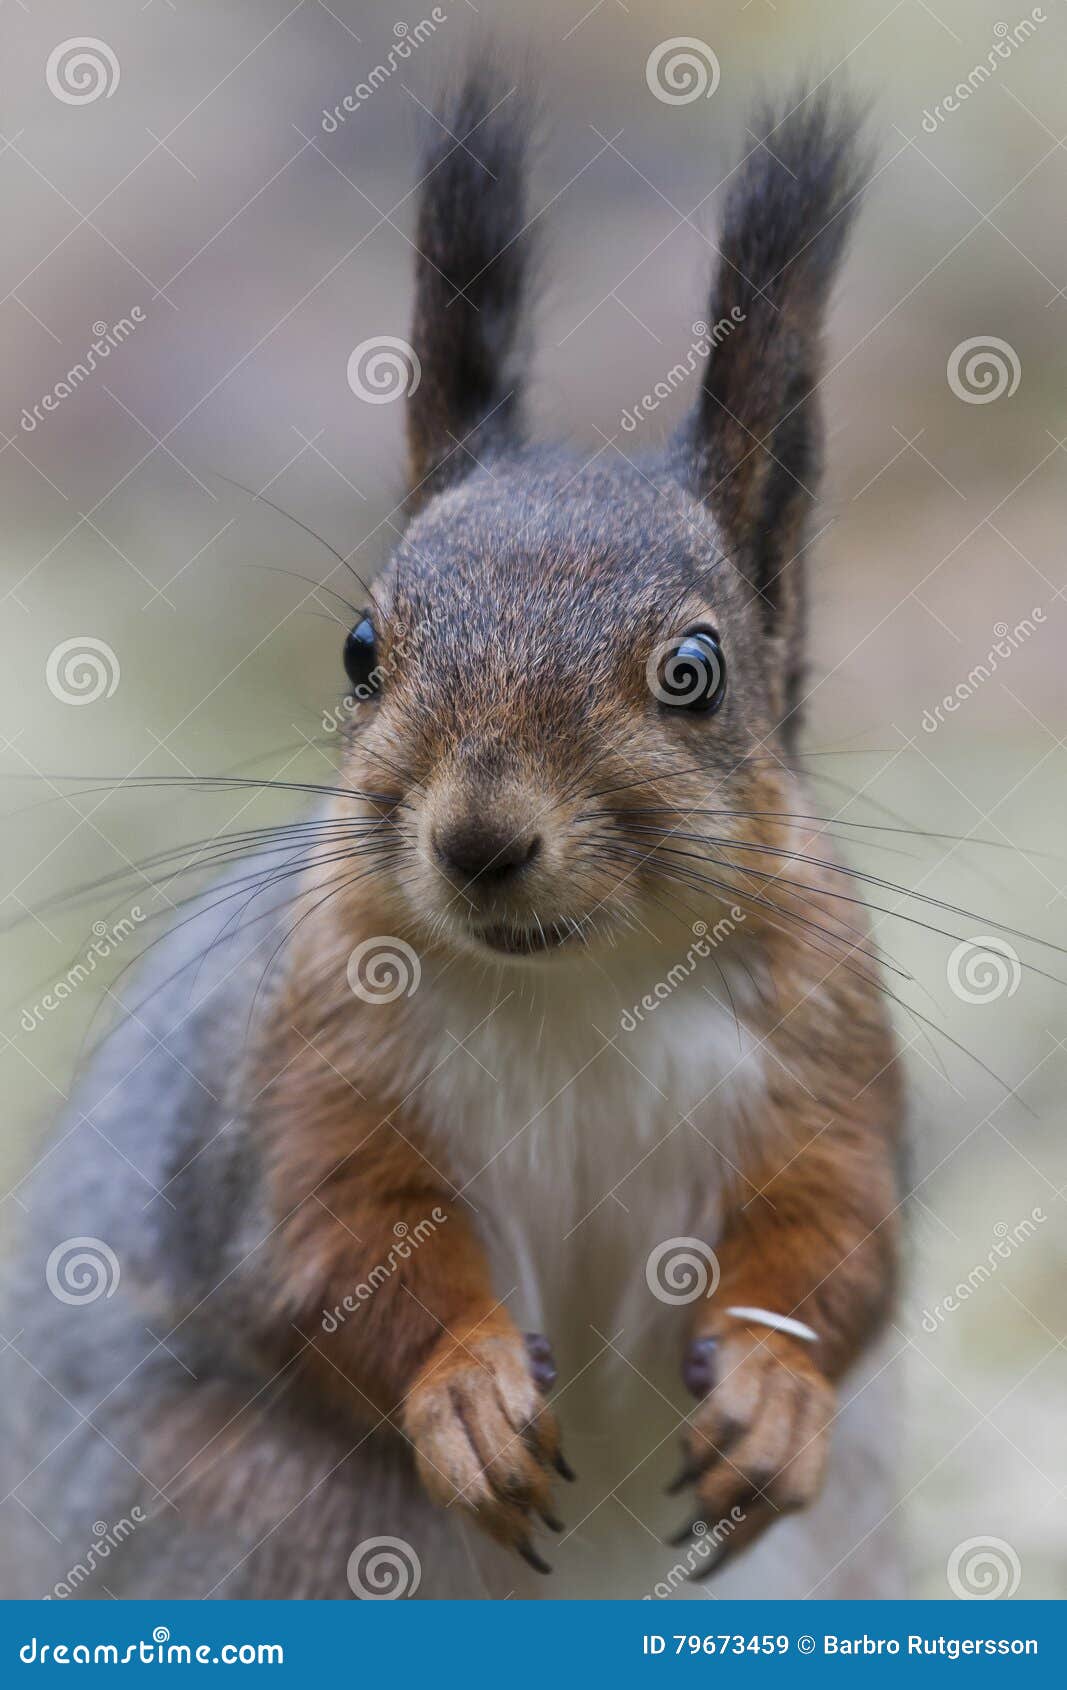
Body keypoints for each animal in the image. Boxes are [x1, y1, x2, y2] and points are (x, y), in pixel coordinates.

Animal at [4, 66, 904, 1601]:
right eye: (361, 649)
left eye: (694, 670)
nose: (479, 838)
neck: (586, 985)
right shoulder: (307, 1060)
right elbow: (333, 1248)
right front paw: (468, 1390)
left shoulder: (825, 1044)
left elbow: (840, 1238)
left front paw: (776, 1397)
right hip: (272, 1523)